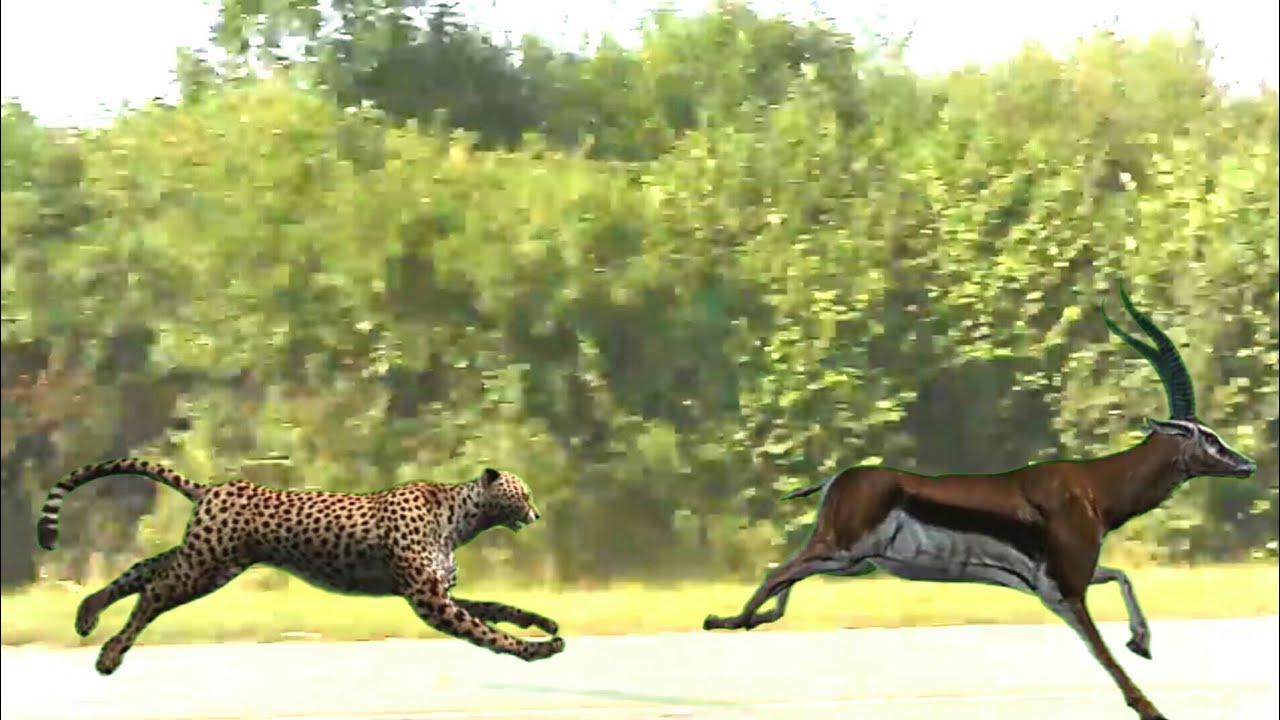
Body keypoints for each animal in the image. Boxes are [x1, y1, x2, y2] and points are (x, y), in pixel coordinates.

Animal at [36, 457, 565, 675]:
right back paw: (109, 654)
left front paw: (543, 624)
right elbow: (487, 632)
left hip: (208, 560)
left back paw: (87, 612)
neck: (463, 517)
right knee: (152, 594)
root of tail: (214, 487)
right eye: (524, 493)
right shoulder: (429, 601)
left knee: (142, 570)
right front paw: (534, 650)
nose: (538, 513)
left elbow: (497, 608)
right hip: (202, 568)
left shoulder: (438, 592)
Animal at [702, 283, 1257, 720]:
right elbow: (1103, 653)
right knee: (779, 570)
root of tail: (839, 477)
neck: (1095, 489)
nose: (1245, 464)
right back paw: (722, 621)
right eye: (1206, 438)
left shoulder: (1065, 579)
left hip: (852, 561)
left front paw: (1141, 643)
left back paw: (746, 621)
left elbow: (1122, 578)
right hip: (841, 550)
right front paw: (1149, 705)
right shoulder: (1065, 592)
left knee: (788, 576)